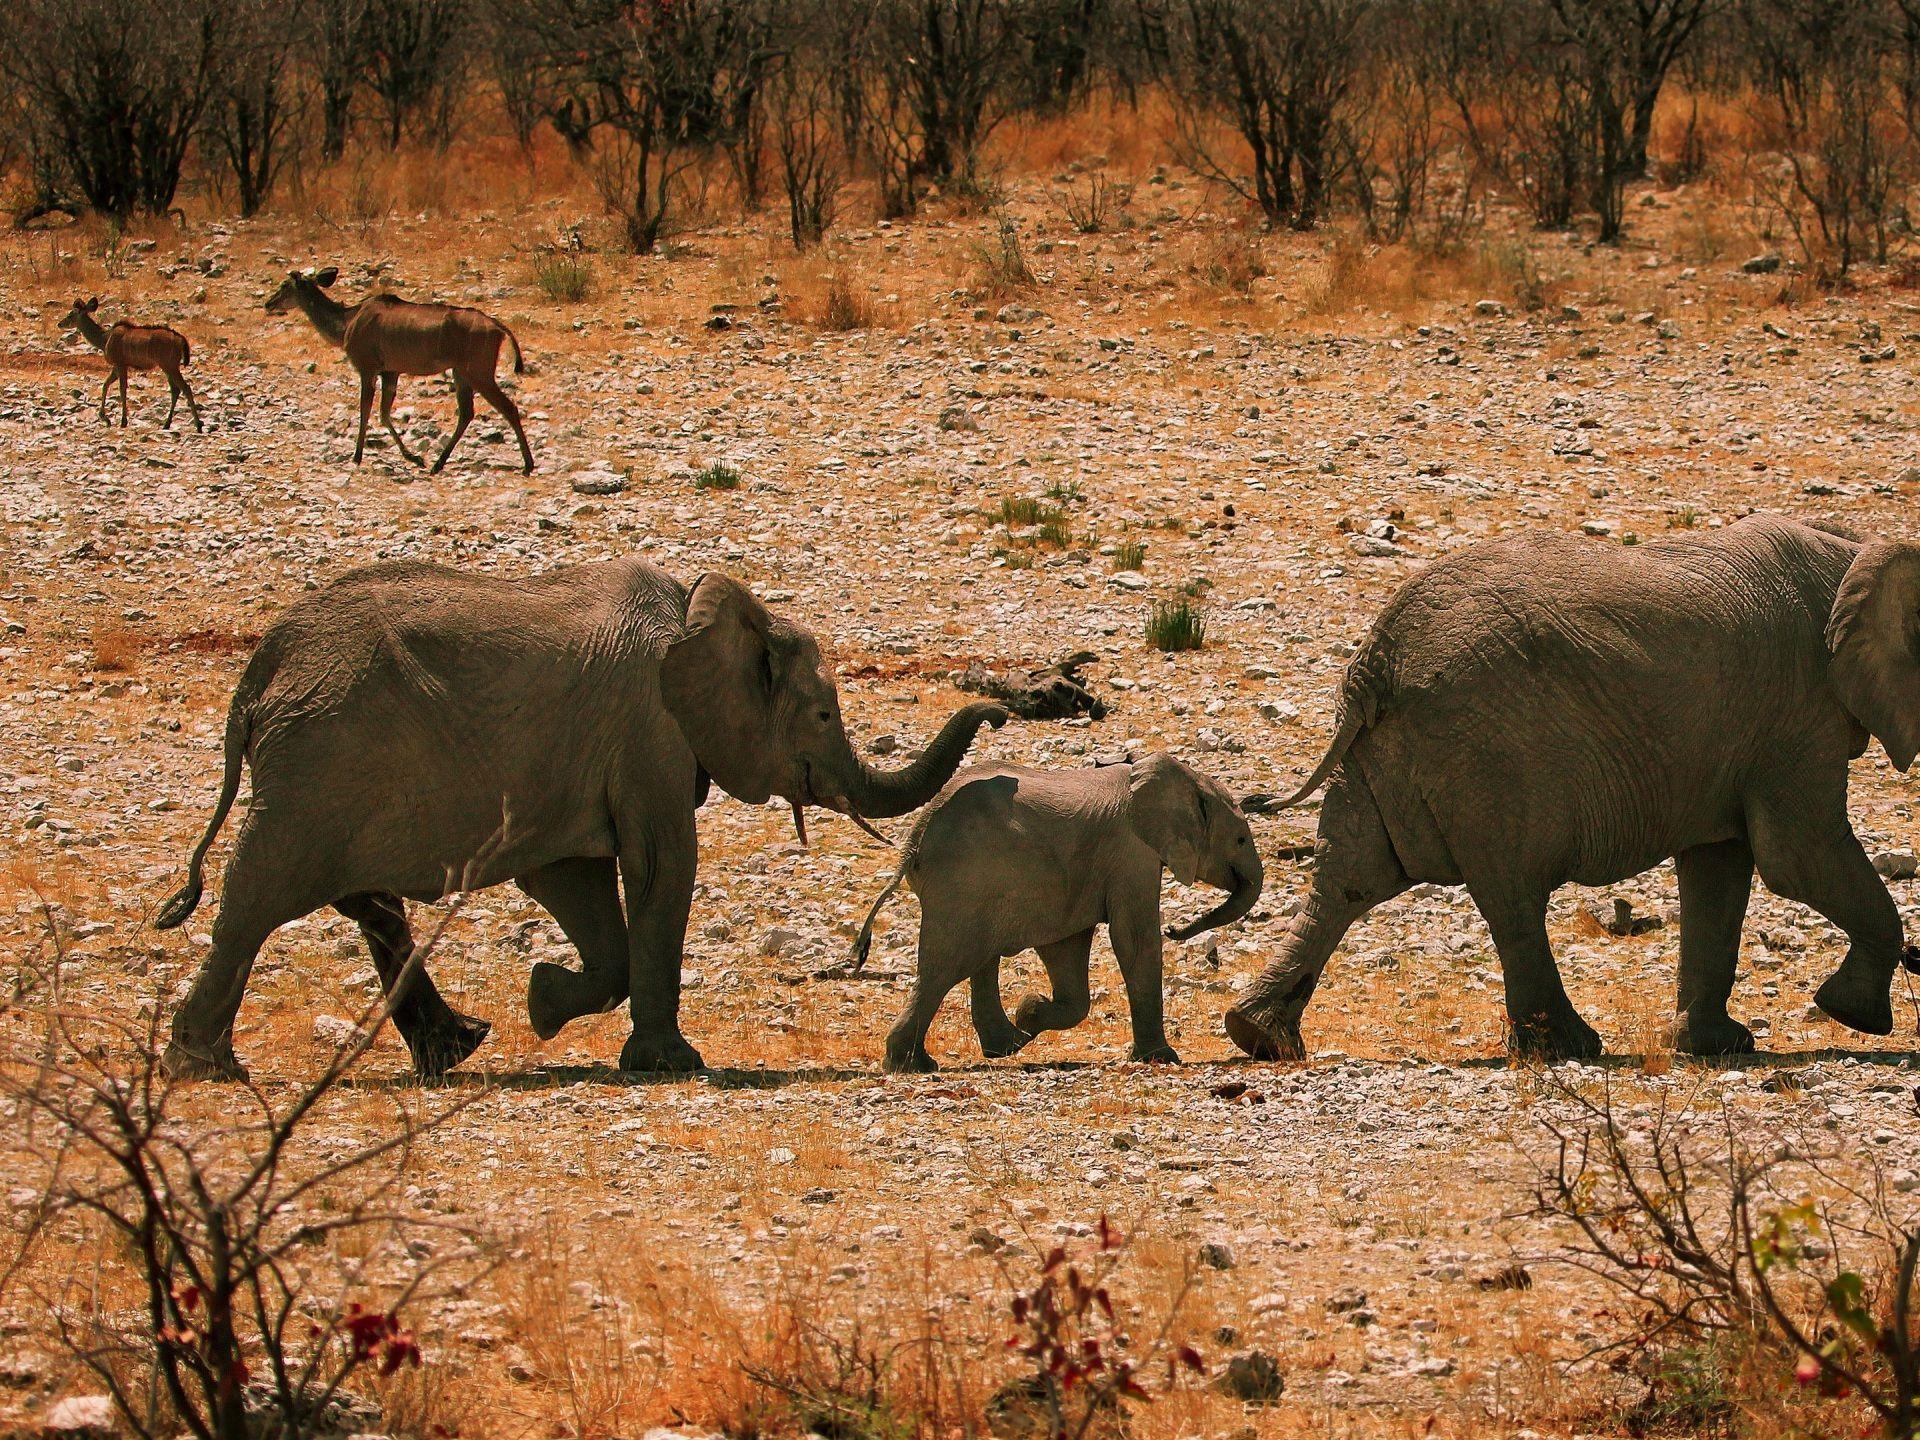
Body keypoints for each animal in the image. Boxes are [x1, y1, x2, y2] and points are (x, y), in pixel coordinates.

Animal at [153, 558, 1007, 1080]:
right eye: (824, 714)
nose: (1002, 709)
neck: (702, 609)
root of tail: (258, 673)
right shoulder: (649, 731)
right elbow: (662, 866)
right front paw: (671, 1064)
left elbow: (578, 885)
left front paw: (541, 1003)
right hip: (320, 761)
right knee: (260, 893)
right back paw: (205, 1066)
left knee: (366, 903)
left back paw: (456, 1049)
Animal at [853, 753, 1264, 1071]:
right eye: (1240, 839)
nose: (1177, 929)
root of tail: (916, 834)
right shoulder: (1131, 852)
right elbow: (1134, 940)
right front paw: (1162, 1058)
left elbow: (1068, 949)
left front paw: (1030, 1011)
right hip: (962, 880)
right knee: (947, 965)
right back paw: (914, 1064)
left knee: (976, 959)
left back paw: (1001, 1045)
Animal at [1225, 513, 1920, 1065]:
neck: (1856, 545)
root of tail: (1377, 658)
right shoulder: (1796, 715)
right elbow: (1794, 856)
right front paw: (1852, 1015)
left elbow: (1719, 866)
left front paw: (1717, 1047)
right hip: (1485, 751)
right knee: (1511, 894)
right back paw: (1570, 1047)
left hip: (1390, 752)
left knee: (1350, 879)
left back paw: (1259, 1037)